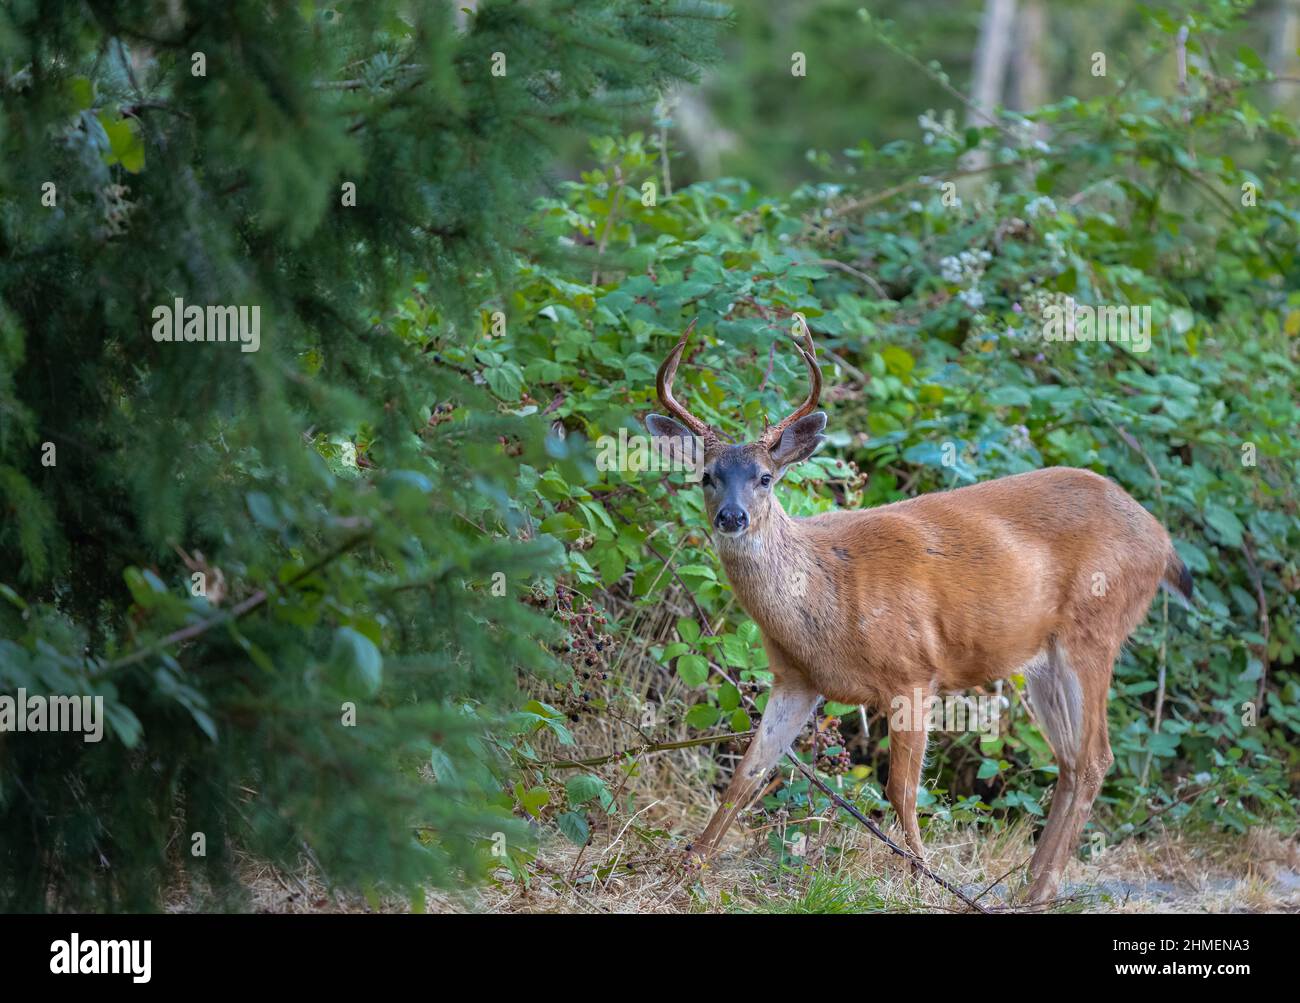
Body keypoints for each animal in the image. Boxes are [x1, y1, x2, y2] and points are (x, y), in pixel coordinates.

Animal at [645, 321, 1193, 904]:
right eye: (707, 476)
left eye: (766, 477)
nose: (732, 516)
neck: (824, 597)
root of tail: (1161, 541)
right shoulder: (796, 678)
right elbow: (746, 774)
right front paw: (686, 867)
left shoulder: (913, 671)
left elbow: (901, 789)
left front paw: (922, 878)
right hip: (1042, 656)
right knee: (1069, 762)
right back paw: (1028, 889)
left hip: (1094, 628)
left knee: (1095, 758)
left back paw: (1038, 891)